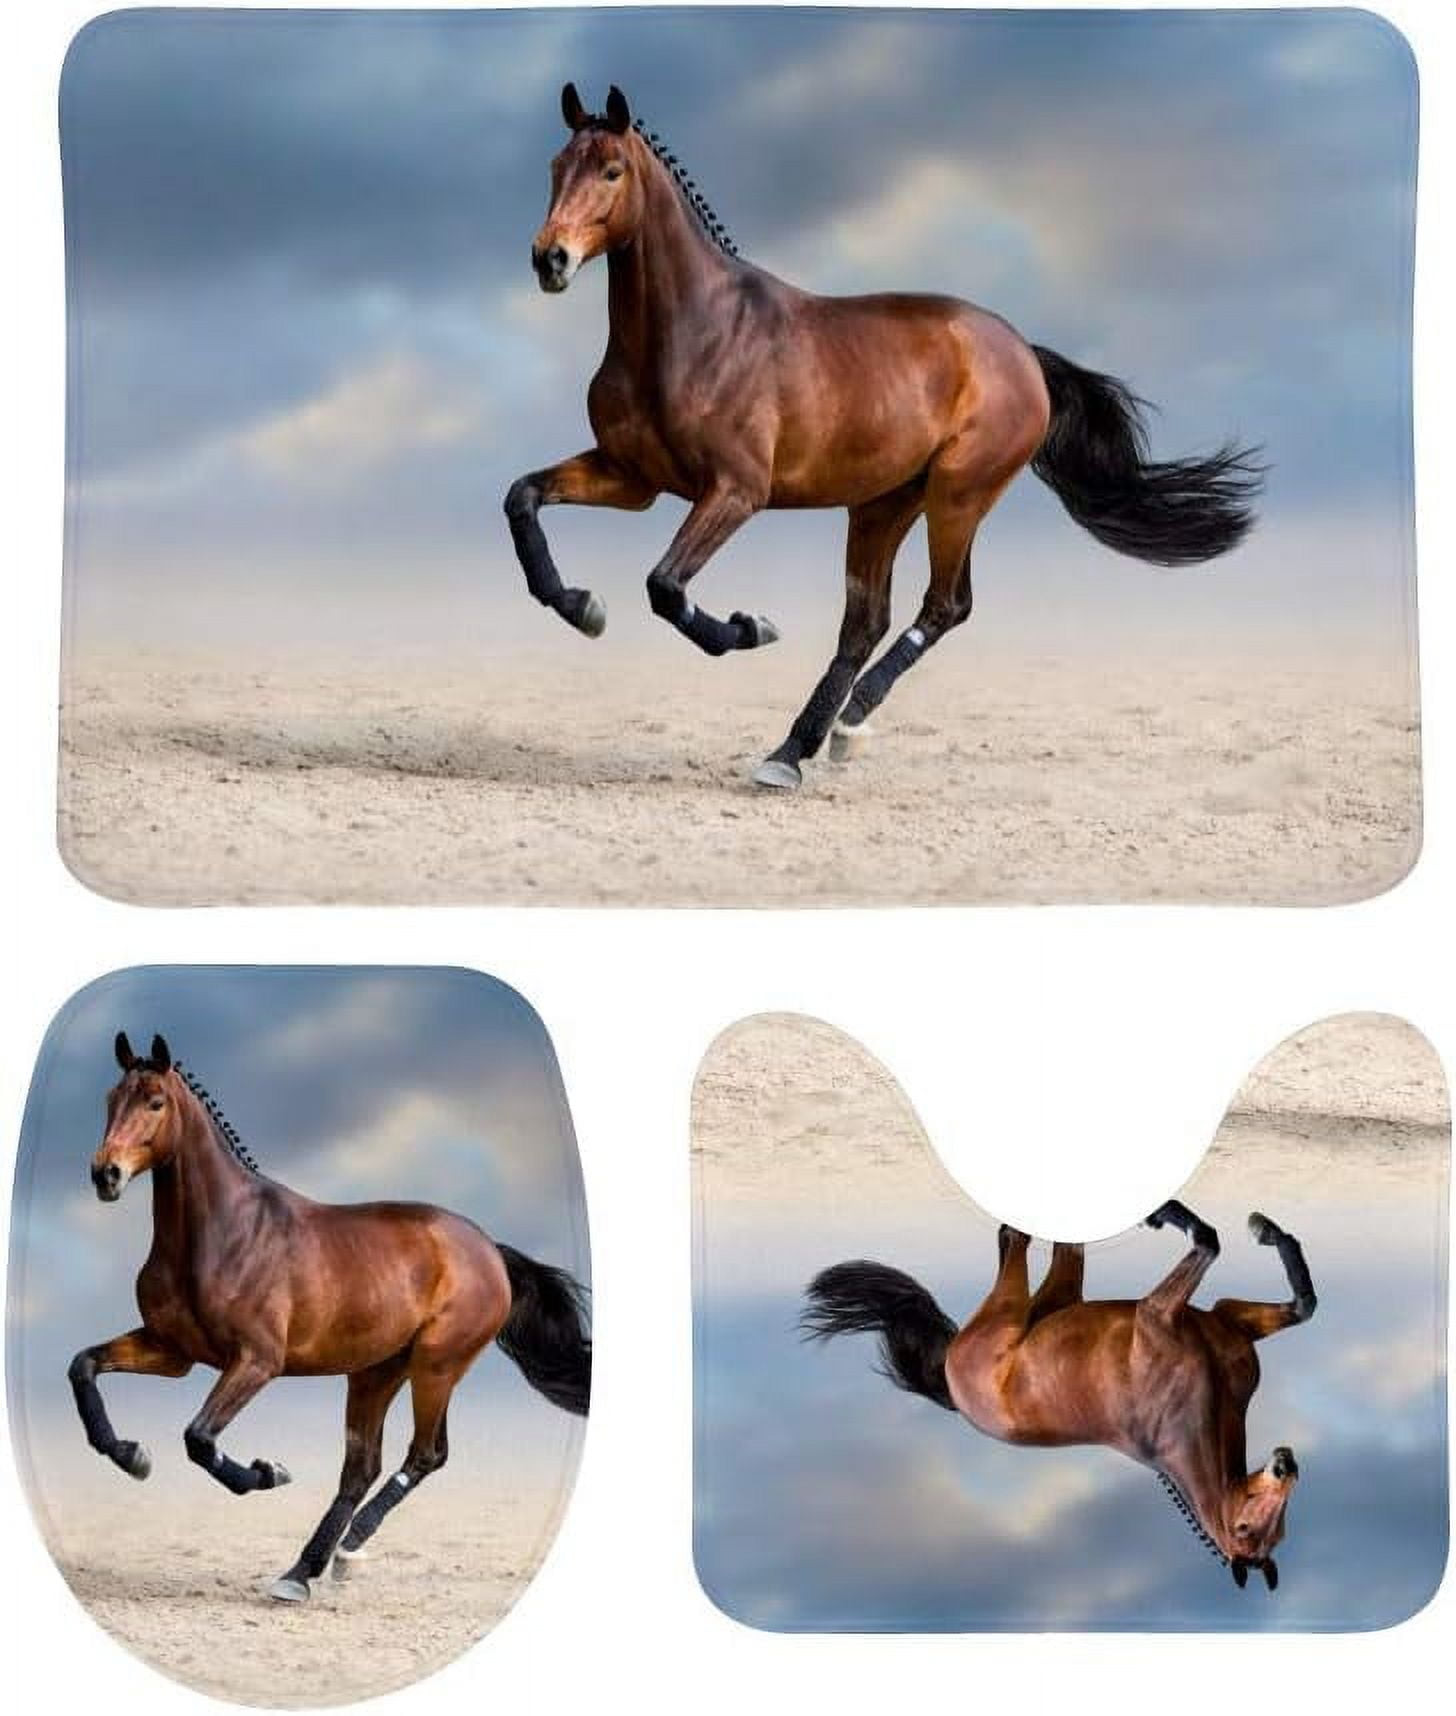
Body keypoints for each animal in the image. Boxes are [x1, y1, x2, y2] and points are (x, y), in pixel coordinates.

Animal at [68, 1032, 591, 1604]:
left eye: (156, 1102)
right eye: (110, 1099)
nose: (105, 1174)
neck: (222, 1234)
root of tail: (490, 1251)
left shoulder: (257, 1361)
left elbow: (199, 1439)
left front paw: (269, 1472)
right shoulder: (172, 1351)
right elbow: (83, 1366)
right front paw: (130, 1455)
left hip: (435, 1366)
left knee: (424, 1455)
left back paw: (342, 1552)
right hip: (377, 1372)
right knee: (363, 1468)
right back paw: (304, 1570)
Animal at [506, 83, 1264, 791]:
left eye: (611, 170)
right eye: (555, 165)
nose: (550, 259)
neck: (694, 331)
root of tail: (1022, 352)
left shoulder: (735, 492)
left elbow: (665, 586)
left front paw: (750, 628)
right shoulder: (631, 477)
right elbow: (523, 499)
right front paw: (582, 607)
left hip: (958, 495)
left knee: (944, 606)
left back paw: (841, 728)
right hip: (883, 504)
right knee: (865, 622)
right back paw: (793, 751)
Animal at [803, 1198, 1316, 1589]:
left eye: (1276, 1528)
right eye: (1246, 1527)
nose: (1286, 1464)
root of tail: (949, 1378)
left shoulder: (1192, 1318)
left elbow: (1285, 1293)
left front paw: (1255, 1228)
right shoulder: (1172, 1314)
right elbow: (1275, 1284)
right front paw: (1263, 1229)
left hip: (1041, 1302)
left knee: (1036, 1242)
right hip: (1016, 1306)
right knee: (1022, 1240)